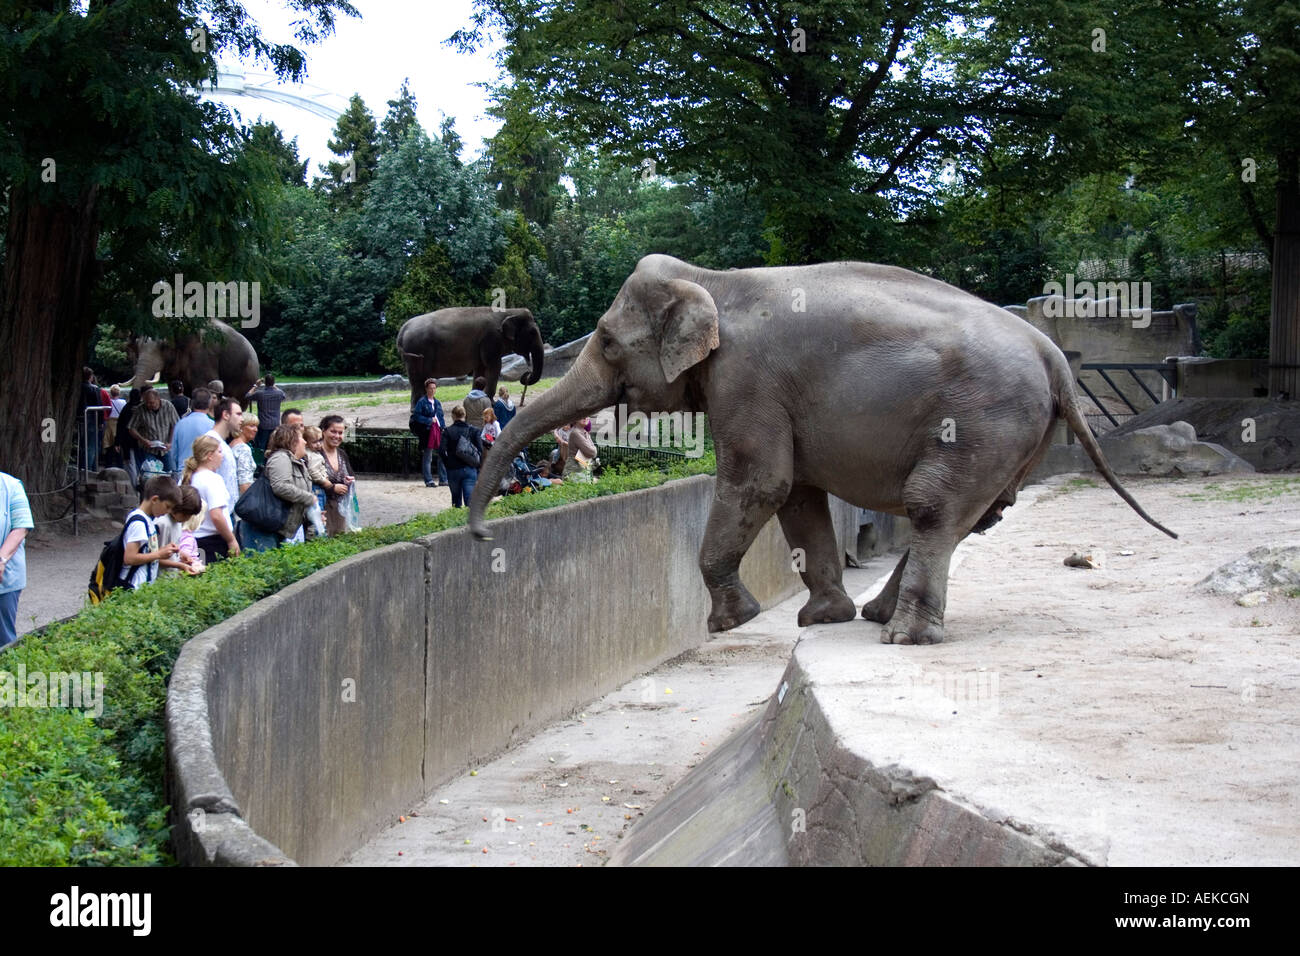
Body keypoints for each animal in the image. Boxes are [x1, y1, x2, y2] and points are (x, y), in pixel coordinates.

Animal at [395, 307, 545, 407]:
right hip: (415, 350)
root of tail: (402, 329)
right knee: (417, 378)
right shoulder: (491, 339)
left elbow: (480, 368)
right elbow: (494, 366)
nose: (526, 375)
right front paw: (492, 403)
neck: (508, 311)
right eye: (532, 333)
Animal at [468, 254, 1176, 645]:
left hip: (984, 418)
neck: (711, 280)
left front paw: (733, 623)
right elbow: (797, 494)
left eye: (610, 342)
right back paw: (877, 615)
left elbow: (761, 483)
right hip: (1018, 433)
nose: (480, 535)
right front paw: (822, 619)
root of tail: (1055, 356)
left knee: (933, 506)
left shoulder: (746, 380)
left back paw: (903, 636)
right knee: (976, 515)